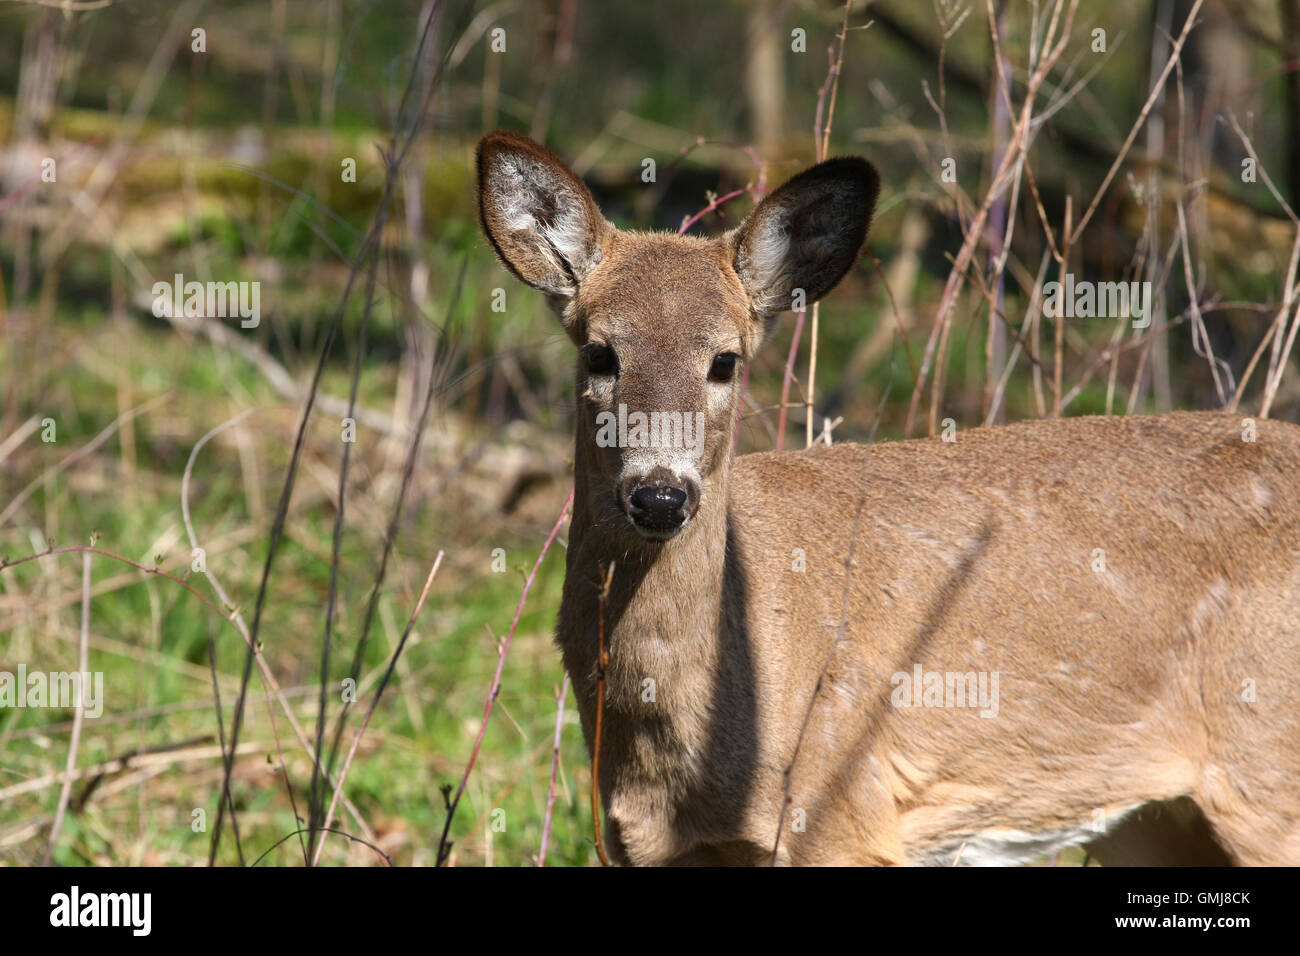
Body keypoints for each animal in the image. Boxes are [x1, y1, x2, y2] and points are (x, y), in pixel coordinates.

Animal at [476, 129, 1300, 866]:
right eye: (598, 353)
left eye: (725, 361)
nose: (659, 496)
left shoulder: (842, 810)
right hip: (1158, 819)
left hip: (1268, 771)